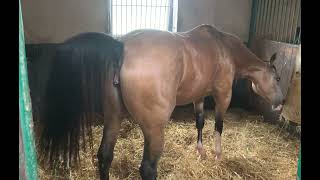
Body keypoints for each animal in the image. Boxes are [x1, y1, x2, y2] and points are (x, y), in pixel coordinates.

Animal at [38, 24, 282, 180]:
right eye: (278, 78)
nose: (280, 103)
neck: (222, 46)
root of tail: (120, 46)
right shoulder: (223, 95)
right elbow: (218, 126)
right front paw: (217, 155)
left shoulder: (199, 96)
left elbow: (200, 122)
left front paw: (200, 151)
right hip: (154, 130)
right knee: (147, 169)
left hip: (113, 118)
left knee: (104, 156)